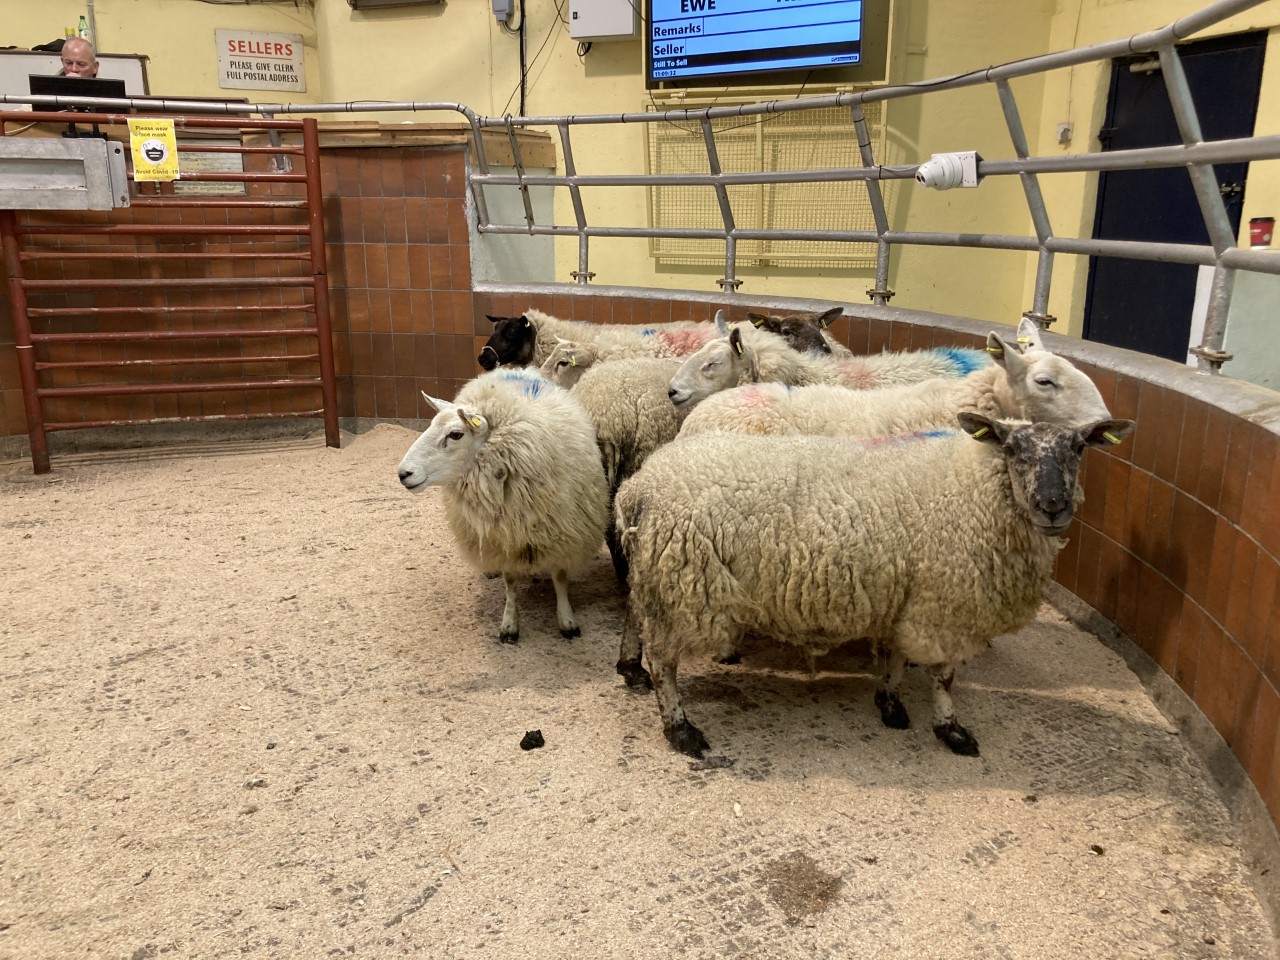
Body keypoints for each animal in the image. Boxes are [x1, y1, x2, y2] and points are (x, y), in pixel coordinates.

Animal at [396, 367, 608, 644]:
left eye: (456, 434)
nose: (403, 473)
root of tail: (512, 368)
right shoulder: (502, 536)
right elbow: (510, 581)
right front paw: (509, 625)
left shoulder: (563, 532)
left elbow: (560, 577)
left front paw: (567, 621)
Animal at [613, 414, 1135, 758]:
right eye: (1011, 449)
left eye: (1080, 448)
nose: (1053, 505)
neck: (974, 490)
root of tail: (641, 486)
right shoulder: (942, 605)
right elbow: (943, 675)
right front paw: (951, 729)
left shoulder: (909, 597)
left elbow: (899, 659)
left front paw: (890, 704)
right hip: (684, 585)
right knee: (665, 661)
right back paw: (680, 728)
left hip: (657, 574)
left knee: (634, 614)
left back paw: (630, 668)